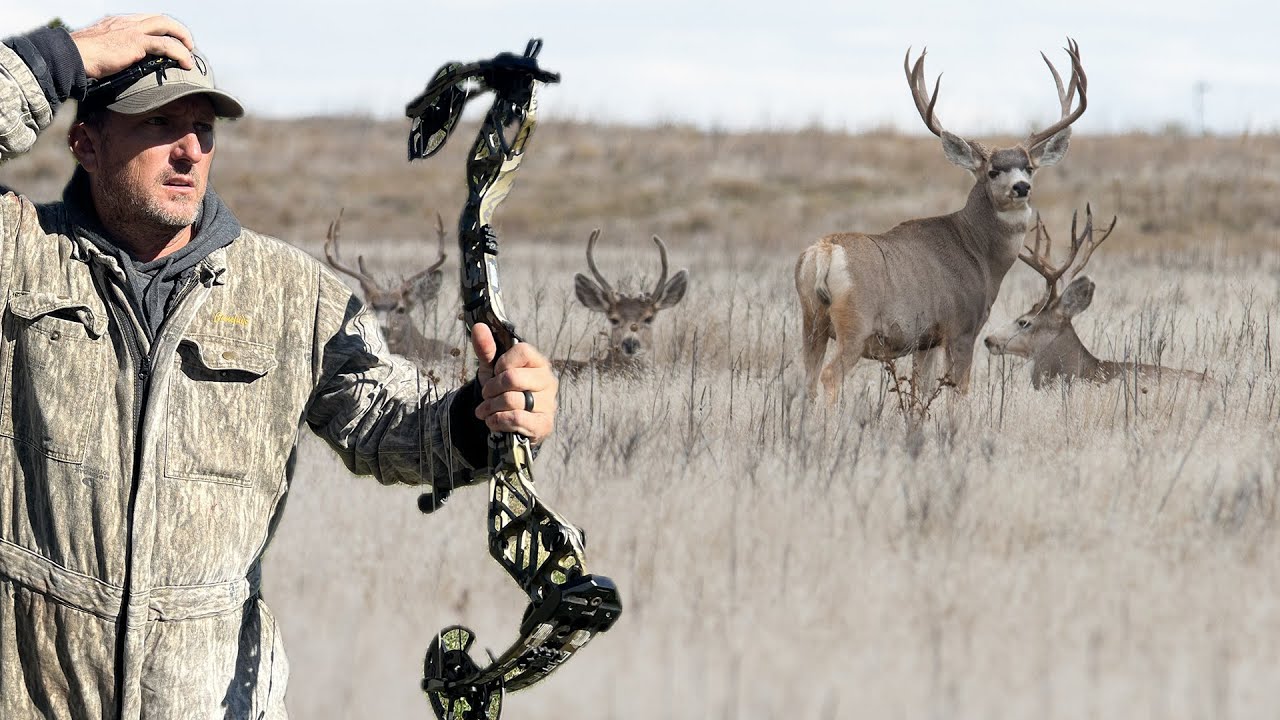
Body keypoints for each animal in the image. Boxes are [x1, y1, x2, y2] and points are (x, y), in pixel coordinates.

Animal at [796, 38, 1087, 403]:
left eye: (1029, 167)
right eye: (993, 171)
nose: (1021, 187)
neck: (979, 254)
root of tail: (823, 253)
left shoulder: (926, 340)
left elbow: (920, 390)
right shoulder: (961, 327)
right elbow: (958, 392)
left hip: (811, 320)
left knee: (805, 381)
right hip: (855, 323)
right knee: (830, 375)